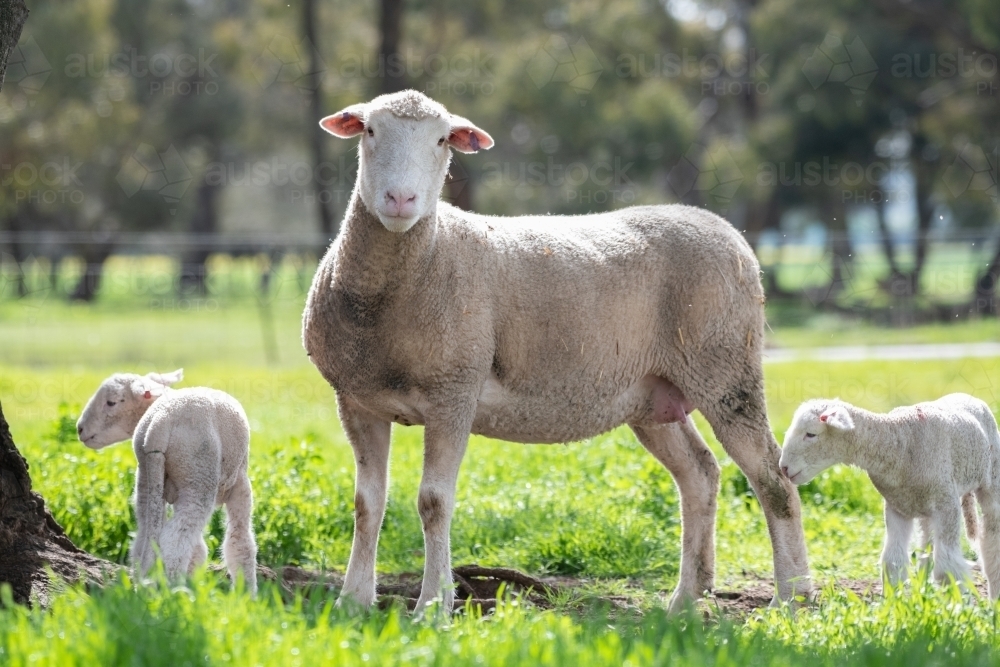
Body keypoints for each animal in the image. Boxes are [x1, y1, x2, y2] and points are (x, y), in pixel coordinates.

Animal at [76, 369, 257, 595]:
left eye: (111, 402)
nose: (79, 429)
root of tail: (158, 424)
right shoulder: (239, 484)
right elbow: (241, 542)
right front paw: (247, 594)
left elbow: (199, 548)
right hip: (198, 474)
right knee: (176, 539)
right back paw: (173, 590)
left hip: (148, 477)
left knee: (145, 535)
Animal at [302, 89, 811, 615]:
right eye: (370, 130)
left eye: (442, 139)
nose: (400, 200)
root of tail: (727, 232)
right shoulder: (356, 401)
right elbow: (367, 503)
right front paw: (352, 602)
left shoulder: (453, 393)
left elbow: (433, 502)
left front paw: (432, 608)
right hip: (654, 395)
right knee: (701, 473)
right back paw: (685, 600)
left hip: (727, 367)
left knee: (772, 480)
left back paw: (792, 596)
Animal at [778, 394, 1000, 598]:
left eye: (811, 434)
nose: (784, 468)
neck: (899, 443)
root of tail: (967, 396)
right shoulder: (897, 507)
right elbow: (893, 561)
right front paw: (895, 603)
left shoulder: (947, 504)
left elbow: (947, 568)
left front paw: (958, 606)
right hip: (924, 504)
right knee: (926, 543)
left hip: (990, 478)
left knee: (992, 537)